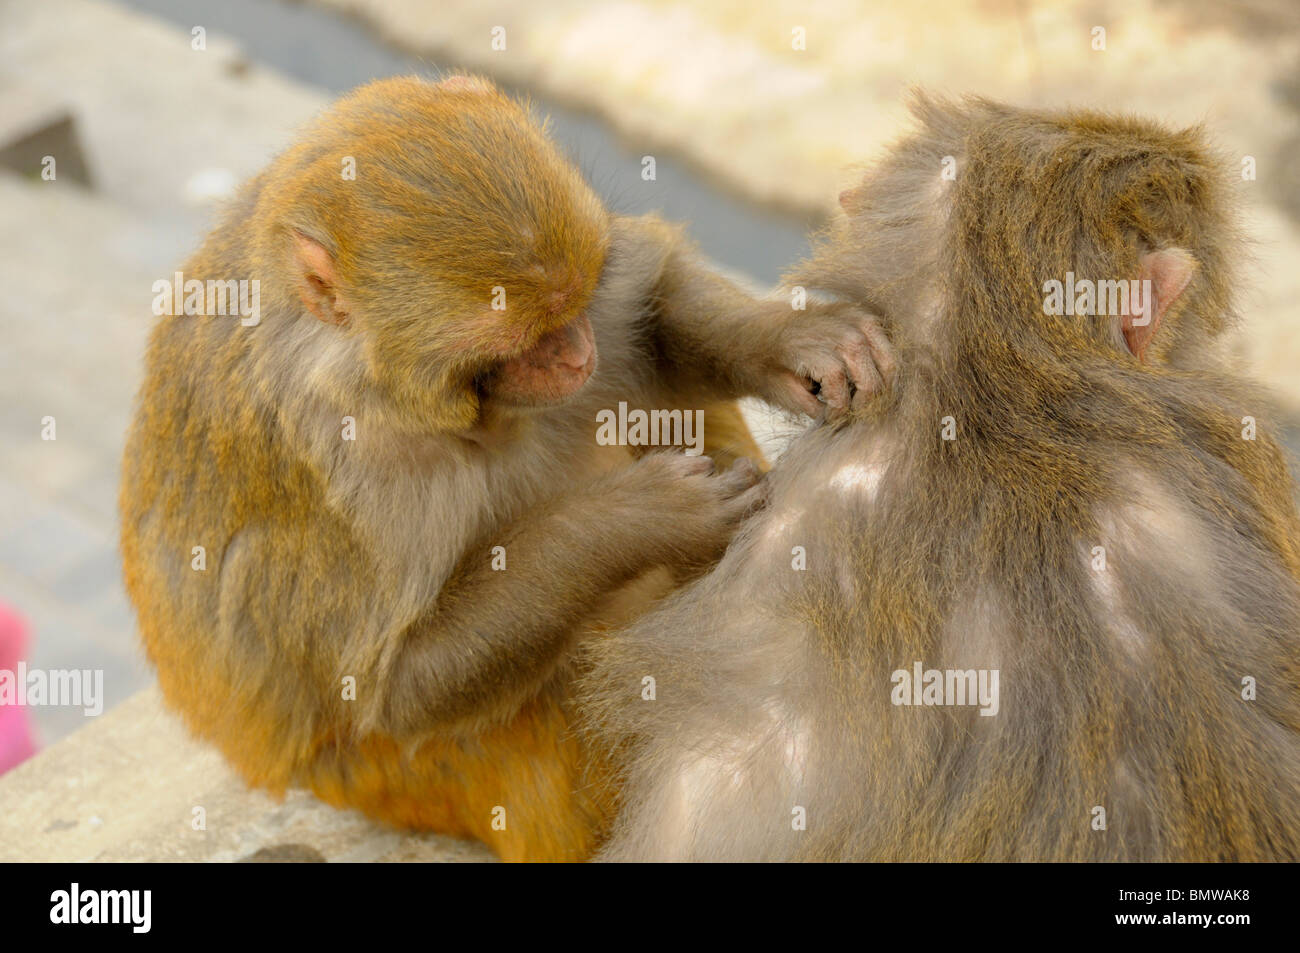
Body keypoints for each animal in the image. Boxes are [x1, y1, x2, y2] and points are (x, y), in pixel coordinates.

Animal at [118, 75, 893, 862]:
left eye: (574, 300)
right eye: (519, 340)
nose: (577, 352)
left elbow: (646, 303)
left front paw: (792, 339)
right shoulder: (350, 473)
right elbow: (394, 686)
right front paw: (640, 520)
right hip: (401, 781)